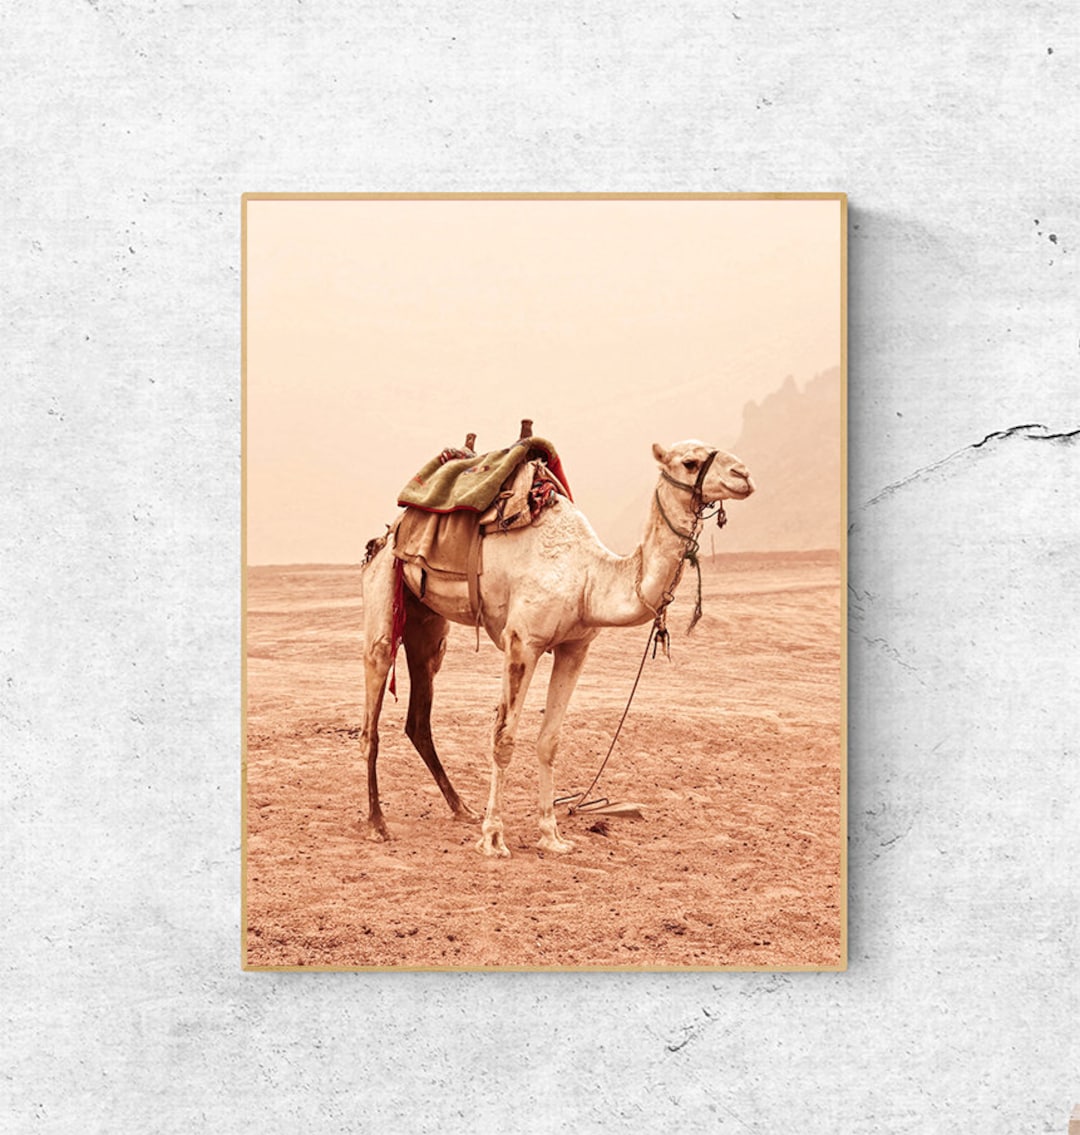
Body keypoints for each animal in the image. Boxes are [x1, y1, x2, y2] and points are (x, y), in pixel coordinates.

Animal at [359, 435, 754, 857]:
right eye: (690, 462)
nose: (743, 475)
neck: (588, 578)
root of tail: (389, 532)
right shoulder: (522, 642)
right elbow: (503, 738)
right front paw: (493, 838)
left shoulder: (575, 648)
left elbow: (549, 741)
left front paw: (551, 835)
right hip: (384, 588)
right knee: (373, 711)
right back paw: (377, 823)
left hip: (428, 623)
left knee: (419, 711)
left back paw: (461, 808)